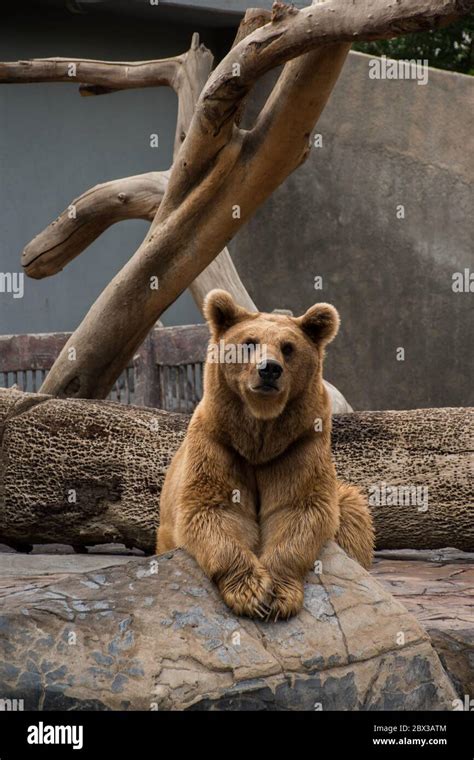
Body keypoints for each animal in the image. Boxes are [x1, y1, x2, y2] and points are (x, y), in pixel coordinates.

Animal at [157, 290, 374, 620]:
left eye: (288, 347)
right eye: (249, 342)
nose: (269, 369)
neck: (260, 437)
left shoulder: (298, 446)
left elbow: (298, 509)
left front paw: (279, 594)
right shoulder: (218, 444)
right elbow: (215, 511)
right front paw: (251, 593)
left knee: (352, 514)